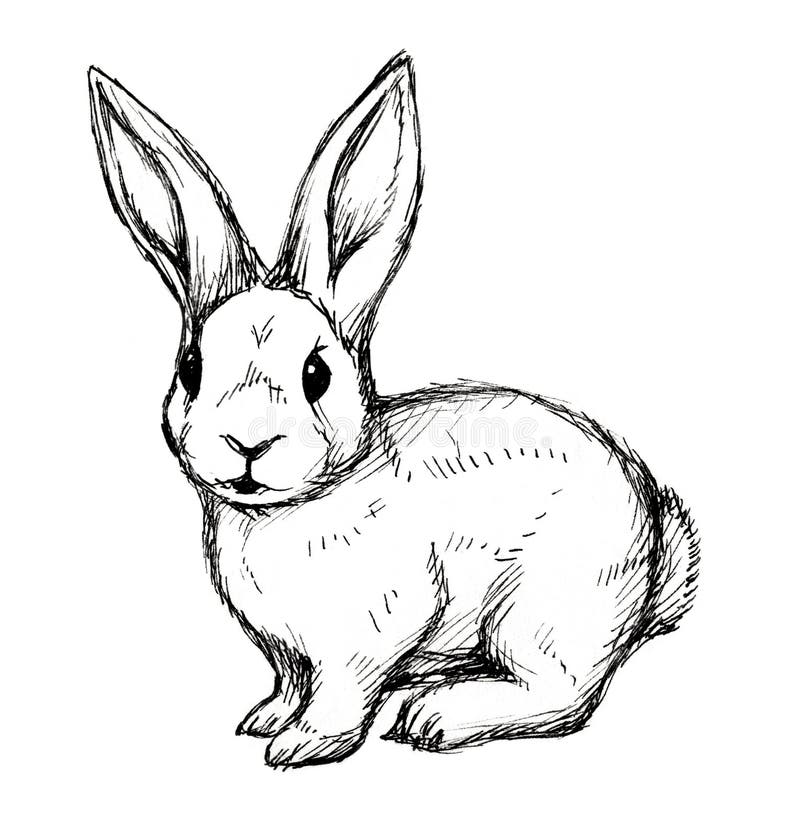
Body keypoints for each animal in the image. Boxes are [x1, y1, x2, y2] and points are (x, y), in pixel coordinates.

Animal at [88, 52, 700, 768]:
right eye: (191, 369)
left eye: (317, 374)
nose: (247, 445)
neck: (294, 508)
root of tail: (651, 559)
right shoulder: (288, 653)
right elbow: (290, 680)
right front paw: (265, 719)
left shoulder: (368, 634)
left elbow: (341, 693)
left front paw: (302, 745)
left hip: (535, 613)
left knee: (561, 694)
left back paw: (435, 716)